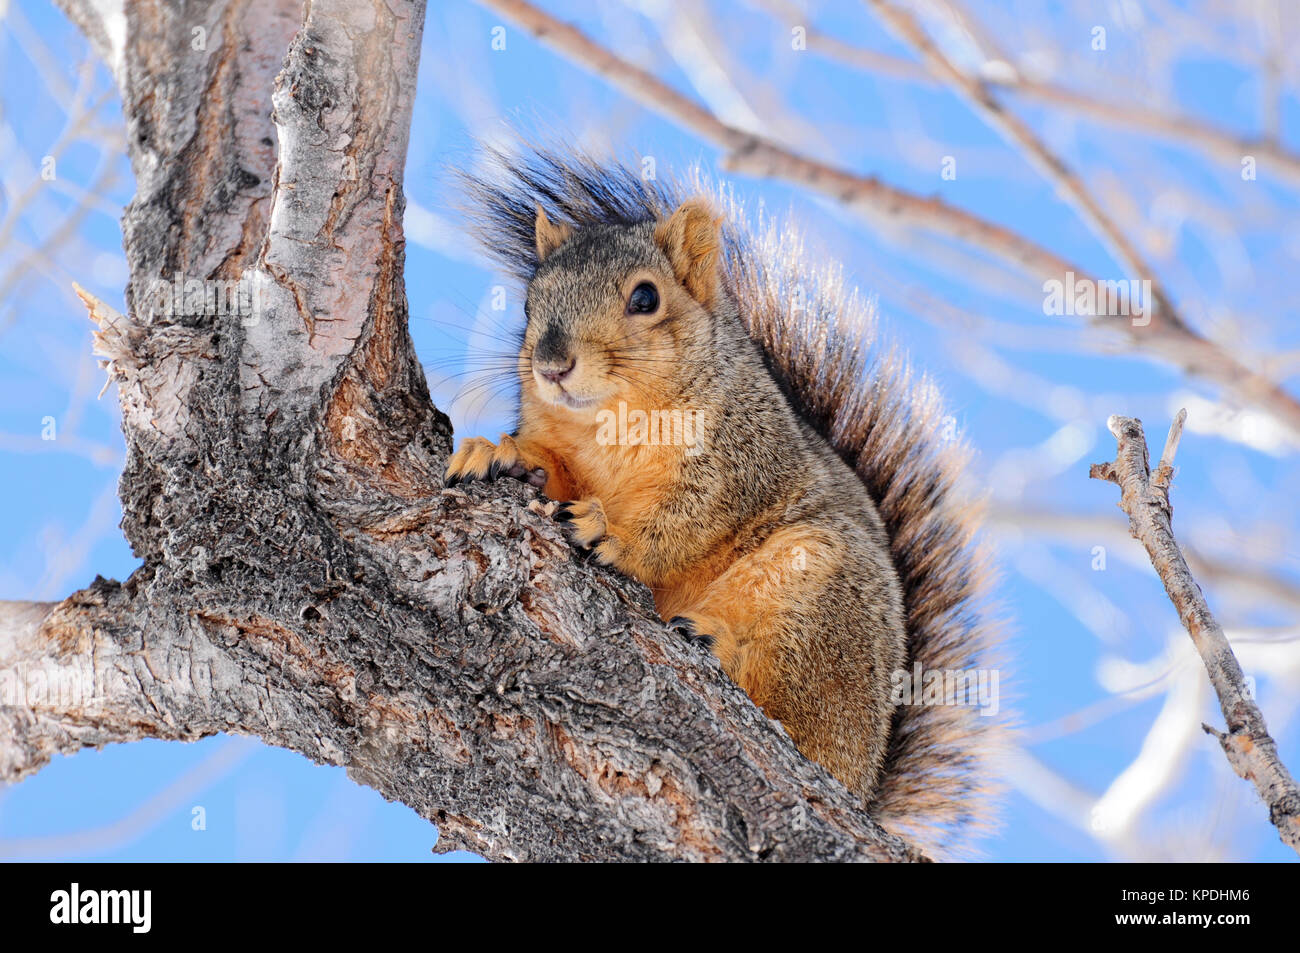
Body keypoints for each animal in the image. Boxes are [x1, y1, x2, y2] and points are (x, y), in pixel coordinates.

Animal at [447, 145, 1001, 855]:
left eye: (646, 297)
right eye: (527, 302)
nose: (551, 365)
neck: (611, 421)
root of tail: (865, 776)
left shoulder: (741, 461)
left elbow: (685, 522)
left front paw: (613, 535)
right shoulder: (566, 448)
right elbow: (554, 469)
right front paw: (497, 453)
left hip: (820, 591)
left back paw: (718, 644)